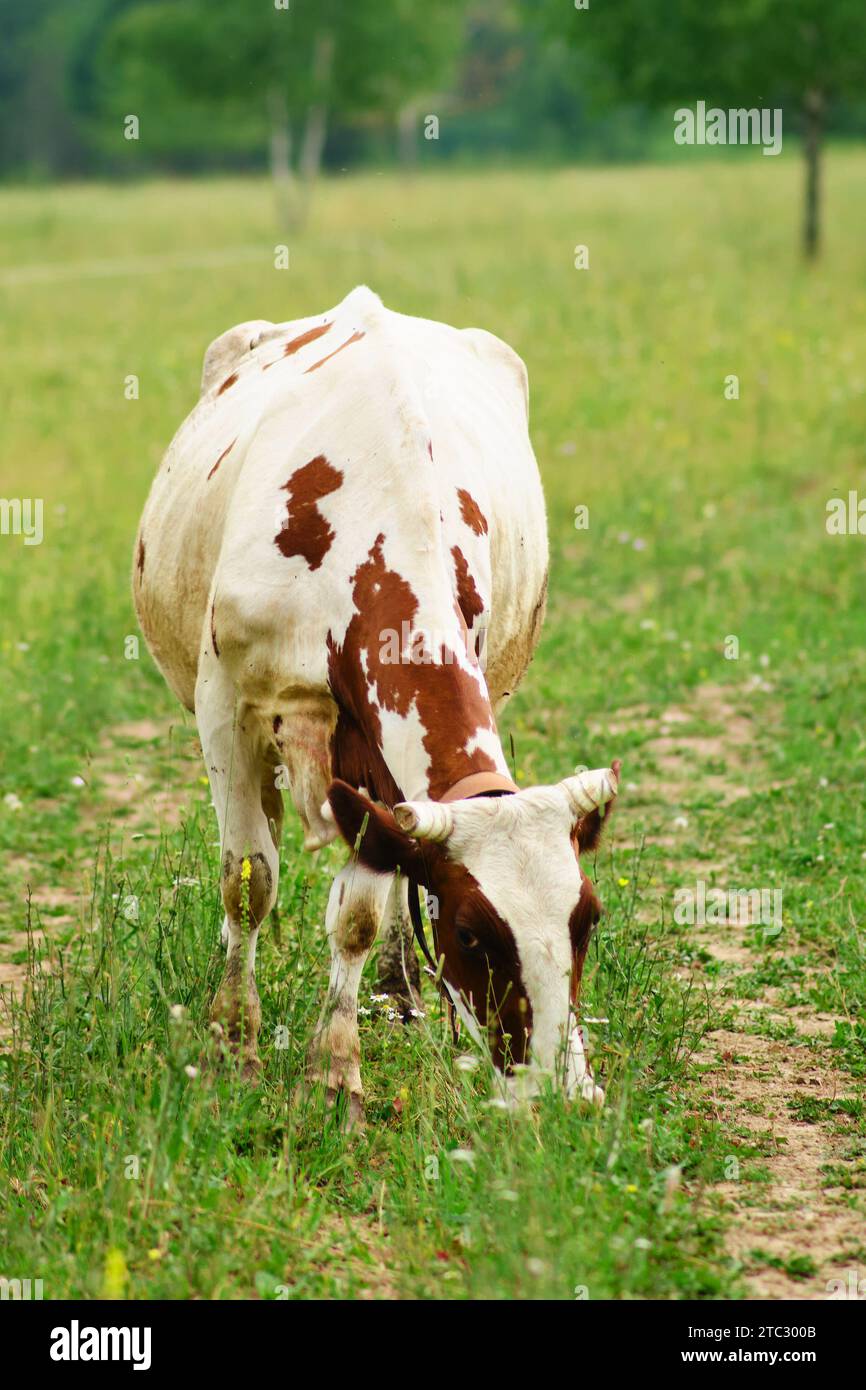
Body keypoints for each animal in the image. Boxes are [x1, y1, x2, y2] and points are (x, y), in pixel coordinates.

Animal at [133, 285, 618, 1127]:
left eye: (584, 919)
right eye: (473, 932)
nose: (564, 1095)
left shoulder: (380, 758)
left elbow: (360, 909)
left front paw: (336, 1079)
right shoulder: (225, 709)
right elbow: (247, 882)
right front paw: (233, 1049)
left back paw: (397, 987)